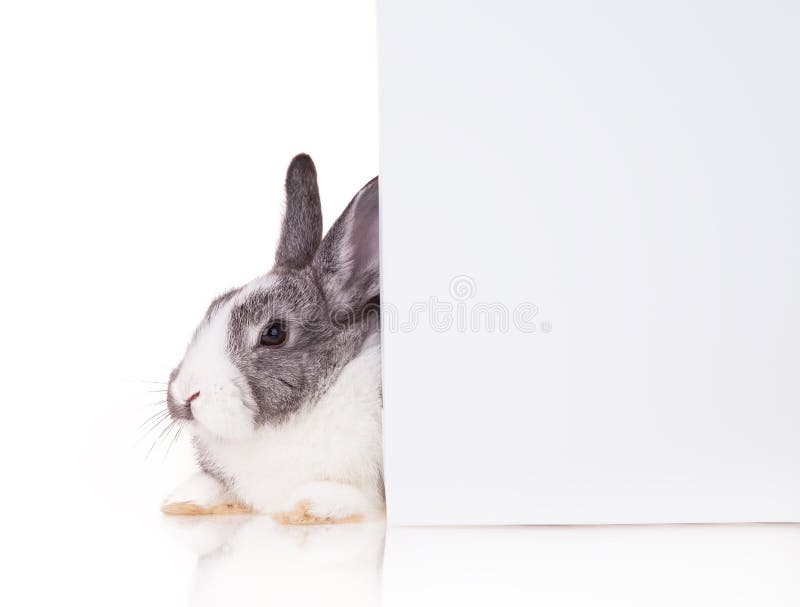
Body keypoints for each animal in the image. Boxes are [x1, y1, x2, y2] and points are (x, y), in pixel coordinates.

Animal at [161, 154, 383, 524]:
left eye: (274, 333)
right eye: (214, 306)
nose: (187, 393)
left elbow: (355, 499)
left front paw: (307, 506)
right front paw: (184, 500)